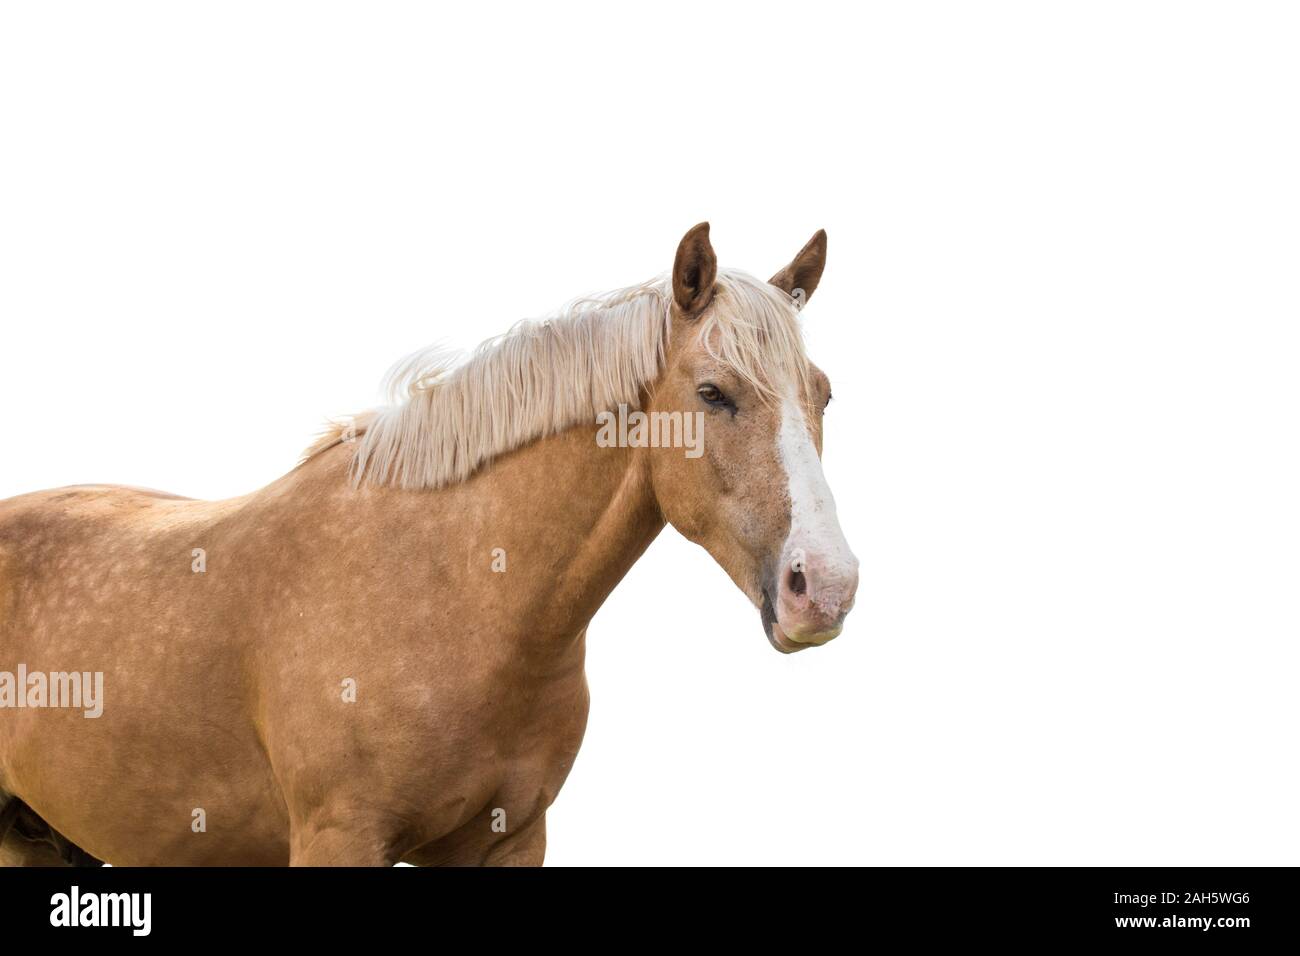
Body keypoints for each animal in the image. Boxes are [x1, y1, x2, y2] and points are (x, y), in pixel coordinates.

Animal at [0, 223, 859, 866]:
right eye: (713, 393)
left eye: (822, 394)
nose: (826, 586)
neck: (453, 592)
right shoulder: (339, 839)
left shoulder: (509, 843)